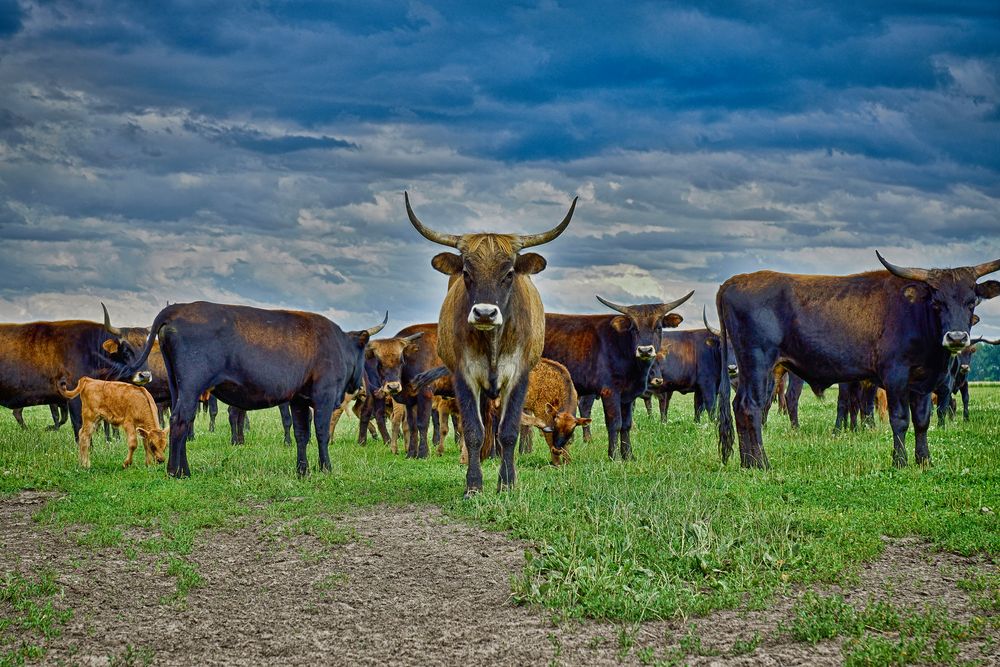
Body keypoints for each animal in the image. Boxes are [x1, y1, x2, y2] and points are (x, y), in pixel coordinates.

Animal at [123, 302, 386, 477]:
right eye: (363, 351)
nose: (359, 385)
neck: (337, 344)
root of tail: (176, 309)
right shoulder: (324, 396)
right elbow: (321, 432)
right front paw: (326, 468)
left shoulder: (298, 400)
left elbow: (302, 434)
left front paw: (303, 471)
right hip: (191, 386)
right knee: (179, 420)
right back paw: (177, 472)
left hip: (178, 386)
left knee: (183, 422)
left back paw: (183, 468)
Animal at [405, 191, 575, 496]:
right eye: (466, 272)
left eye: (508, 273)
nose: (485, 313)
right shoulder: (464, 377)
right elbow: (474, 430)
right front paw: (473, 485)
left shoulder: (519, 377)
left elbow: (508, 431)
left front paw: (506, 483)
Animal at [543, 291, 693, 460]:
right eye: (633, 328)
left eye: (658, 326)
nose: (645, 350)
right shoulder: (610, 392)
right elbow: (615, 424)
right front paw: (614, 457)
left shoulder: (628, 396)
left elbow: (626, 424)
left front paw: (628, 455)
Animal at [717, 253, 1000, 468]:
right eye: (937, 302)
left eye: (971, 302)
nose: (956, 337)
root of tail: (733, 282)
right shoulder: (895, 377)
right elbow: (900, 419)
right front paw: (900, 462)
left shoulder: (922, 383)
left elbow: (922, 421)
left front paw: (924, 461)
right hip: (758, 363)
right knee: (750, 406)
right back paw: (761, 463)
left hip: (750, 368)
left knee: (739, 405)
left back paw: (746, 463)